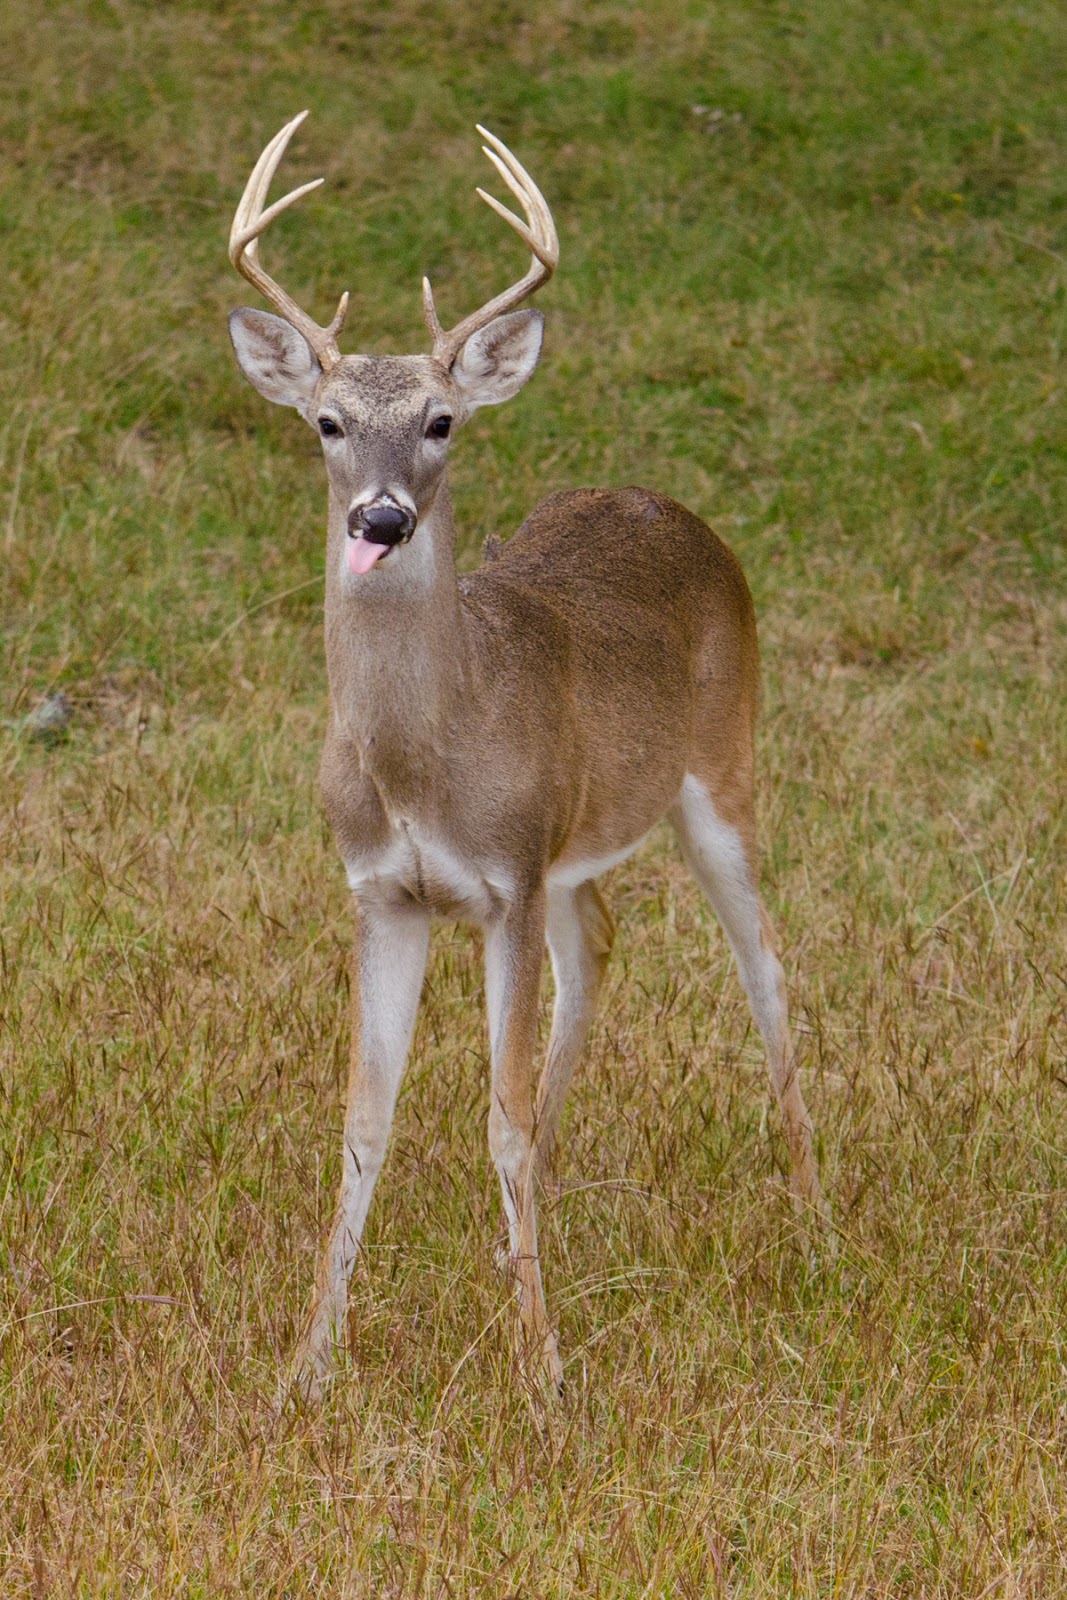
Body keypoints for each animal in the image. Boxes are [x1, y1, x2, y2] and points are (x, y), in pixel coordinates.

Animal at [225, 112, 829, 1400]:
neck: (428, 757)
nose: (382, 518)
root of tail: (669, 505)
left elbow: (491, 1109)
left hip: (720, 771)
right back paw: (526, 1224)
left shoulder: (500, 878)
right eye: (326, 423)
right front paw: (307, 1367)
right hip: (570, 845)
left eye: (442, 421)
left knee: (764, 963)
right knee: (599, 937)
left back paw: (813, 1228)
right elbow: (364, 1120)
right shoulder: (386, 892)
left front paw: (541, 1373)